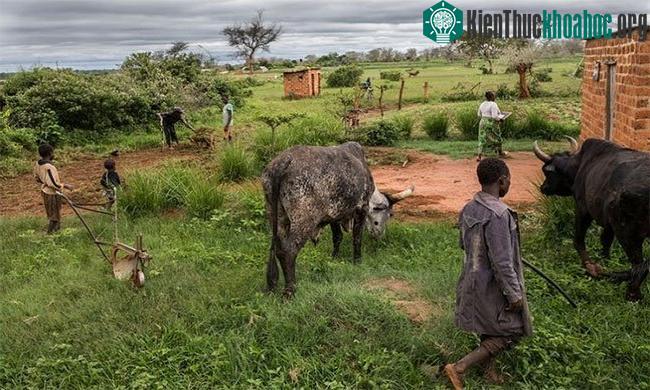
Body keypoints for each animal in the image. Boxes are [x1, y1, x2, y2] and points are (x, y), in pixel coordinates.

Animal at [262, 143, 410, 296]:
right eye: (389, 213)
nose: (380, 234)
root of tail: (284, 161)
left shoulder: (333, 216)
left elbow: (337, 237)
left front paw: (334, 258)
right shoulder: (361, 209)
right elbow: (357, 239)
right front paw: (358, 261)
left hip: (276, 217)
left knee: (276, 248)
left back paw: (271, 286)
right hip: (303, 221)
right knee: (289, 251)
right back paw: (290, 290)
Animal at [532, 138, 648, 302]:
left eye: (546, 171)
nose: (543, 188)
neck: (580, 165)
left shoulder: (582, 209)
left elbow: (578, 241)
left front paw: (589, 266)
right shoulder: (608, 223)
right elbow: (605, 242)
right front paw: (605, 261)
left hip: (627, 233)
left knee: (640, 266)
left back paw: (631, 293)